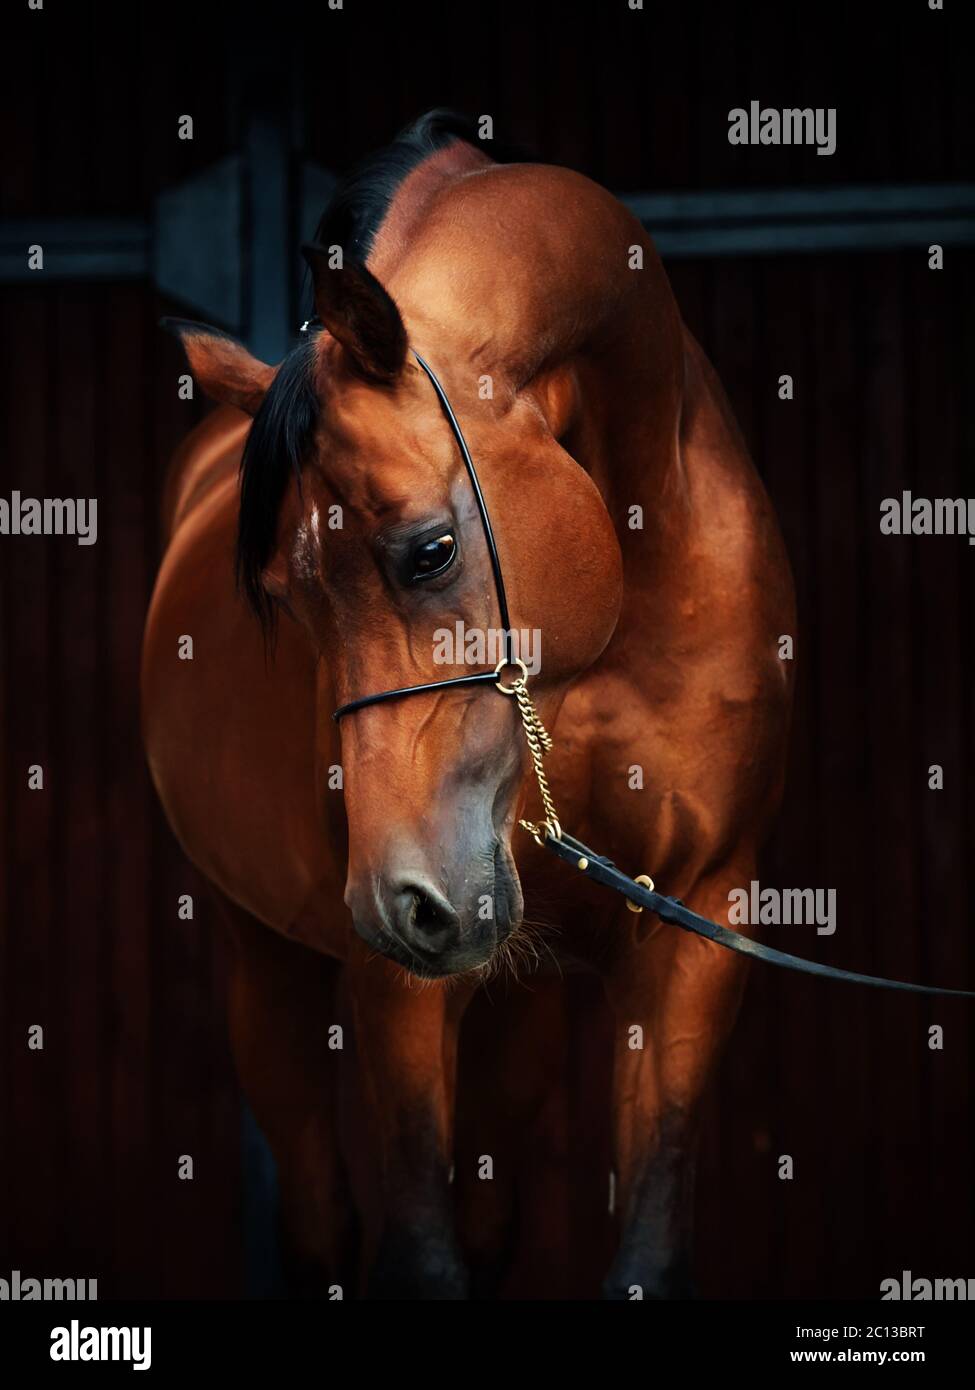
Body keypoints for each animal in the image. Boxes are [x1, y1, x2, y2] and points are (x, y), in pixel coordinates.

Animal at [141, 110, 795, 1299]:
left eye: (432, 549)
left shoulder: (702, 918)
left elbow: (642, 1245)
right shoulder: (393, 987)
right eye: (283, 600)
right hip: (269, 966)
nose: (400, 900)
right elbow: (418, 1251)